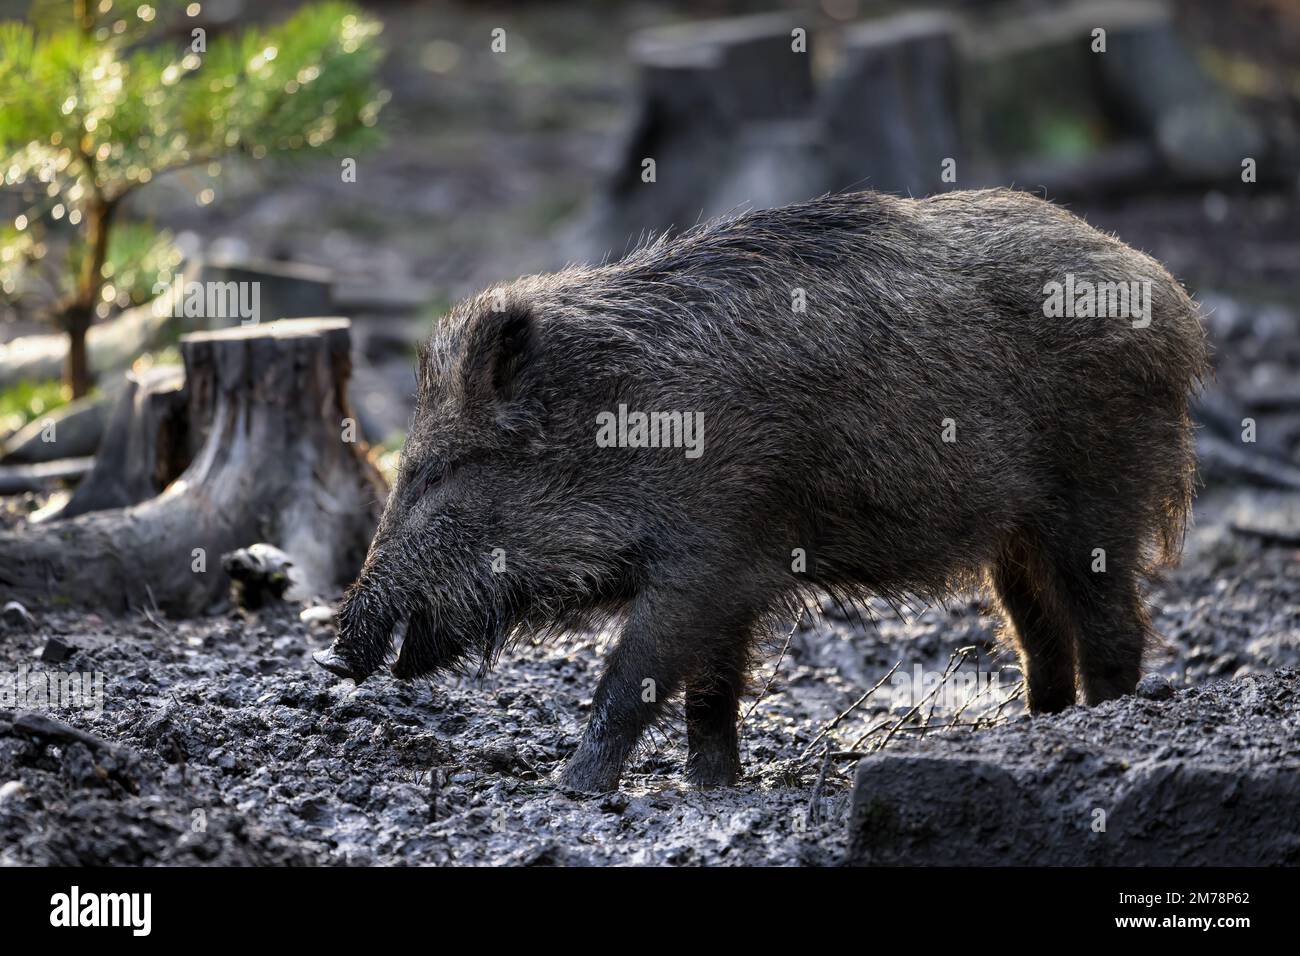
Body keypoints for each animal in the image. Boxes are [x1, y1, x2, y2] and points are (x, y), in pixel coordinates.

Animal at [315, 188, 1209, 792]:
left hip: (1099, 496)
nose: (329, 654)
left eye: (441, 472)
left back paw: (1100, 725)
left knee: (1115, 628)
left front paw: (570, 788)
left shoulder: (710, 561)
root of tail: (1170, 296)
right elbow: (709, 691)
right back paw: (1035, 728)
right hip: (1015, 536)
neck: (621, 426)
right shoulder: (734, 577)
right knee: (1037, 633)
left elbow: (635, 674)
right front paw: (712, 786)